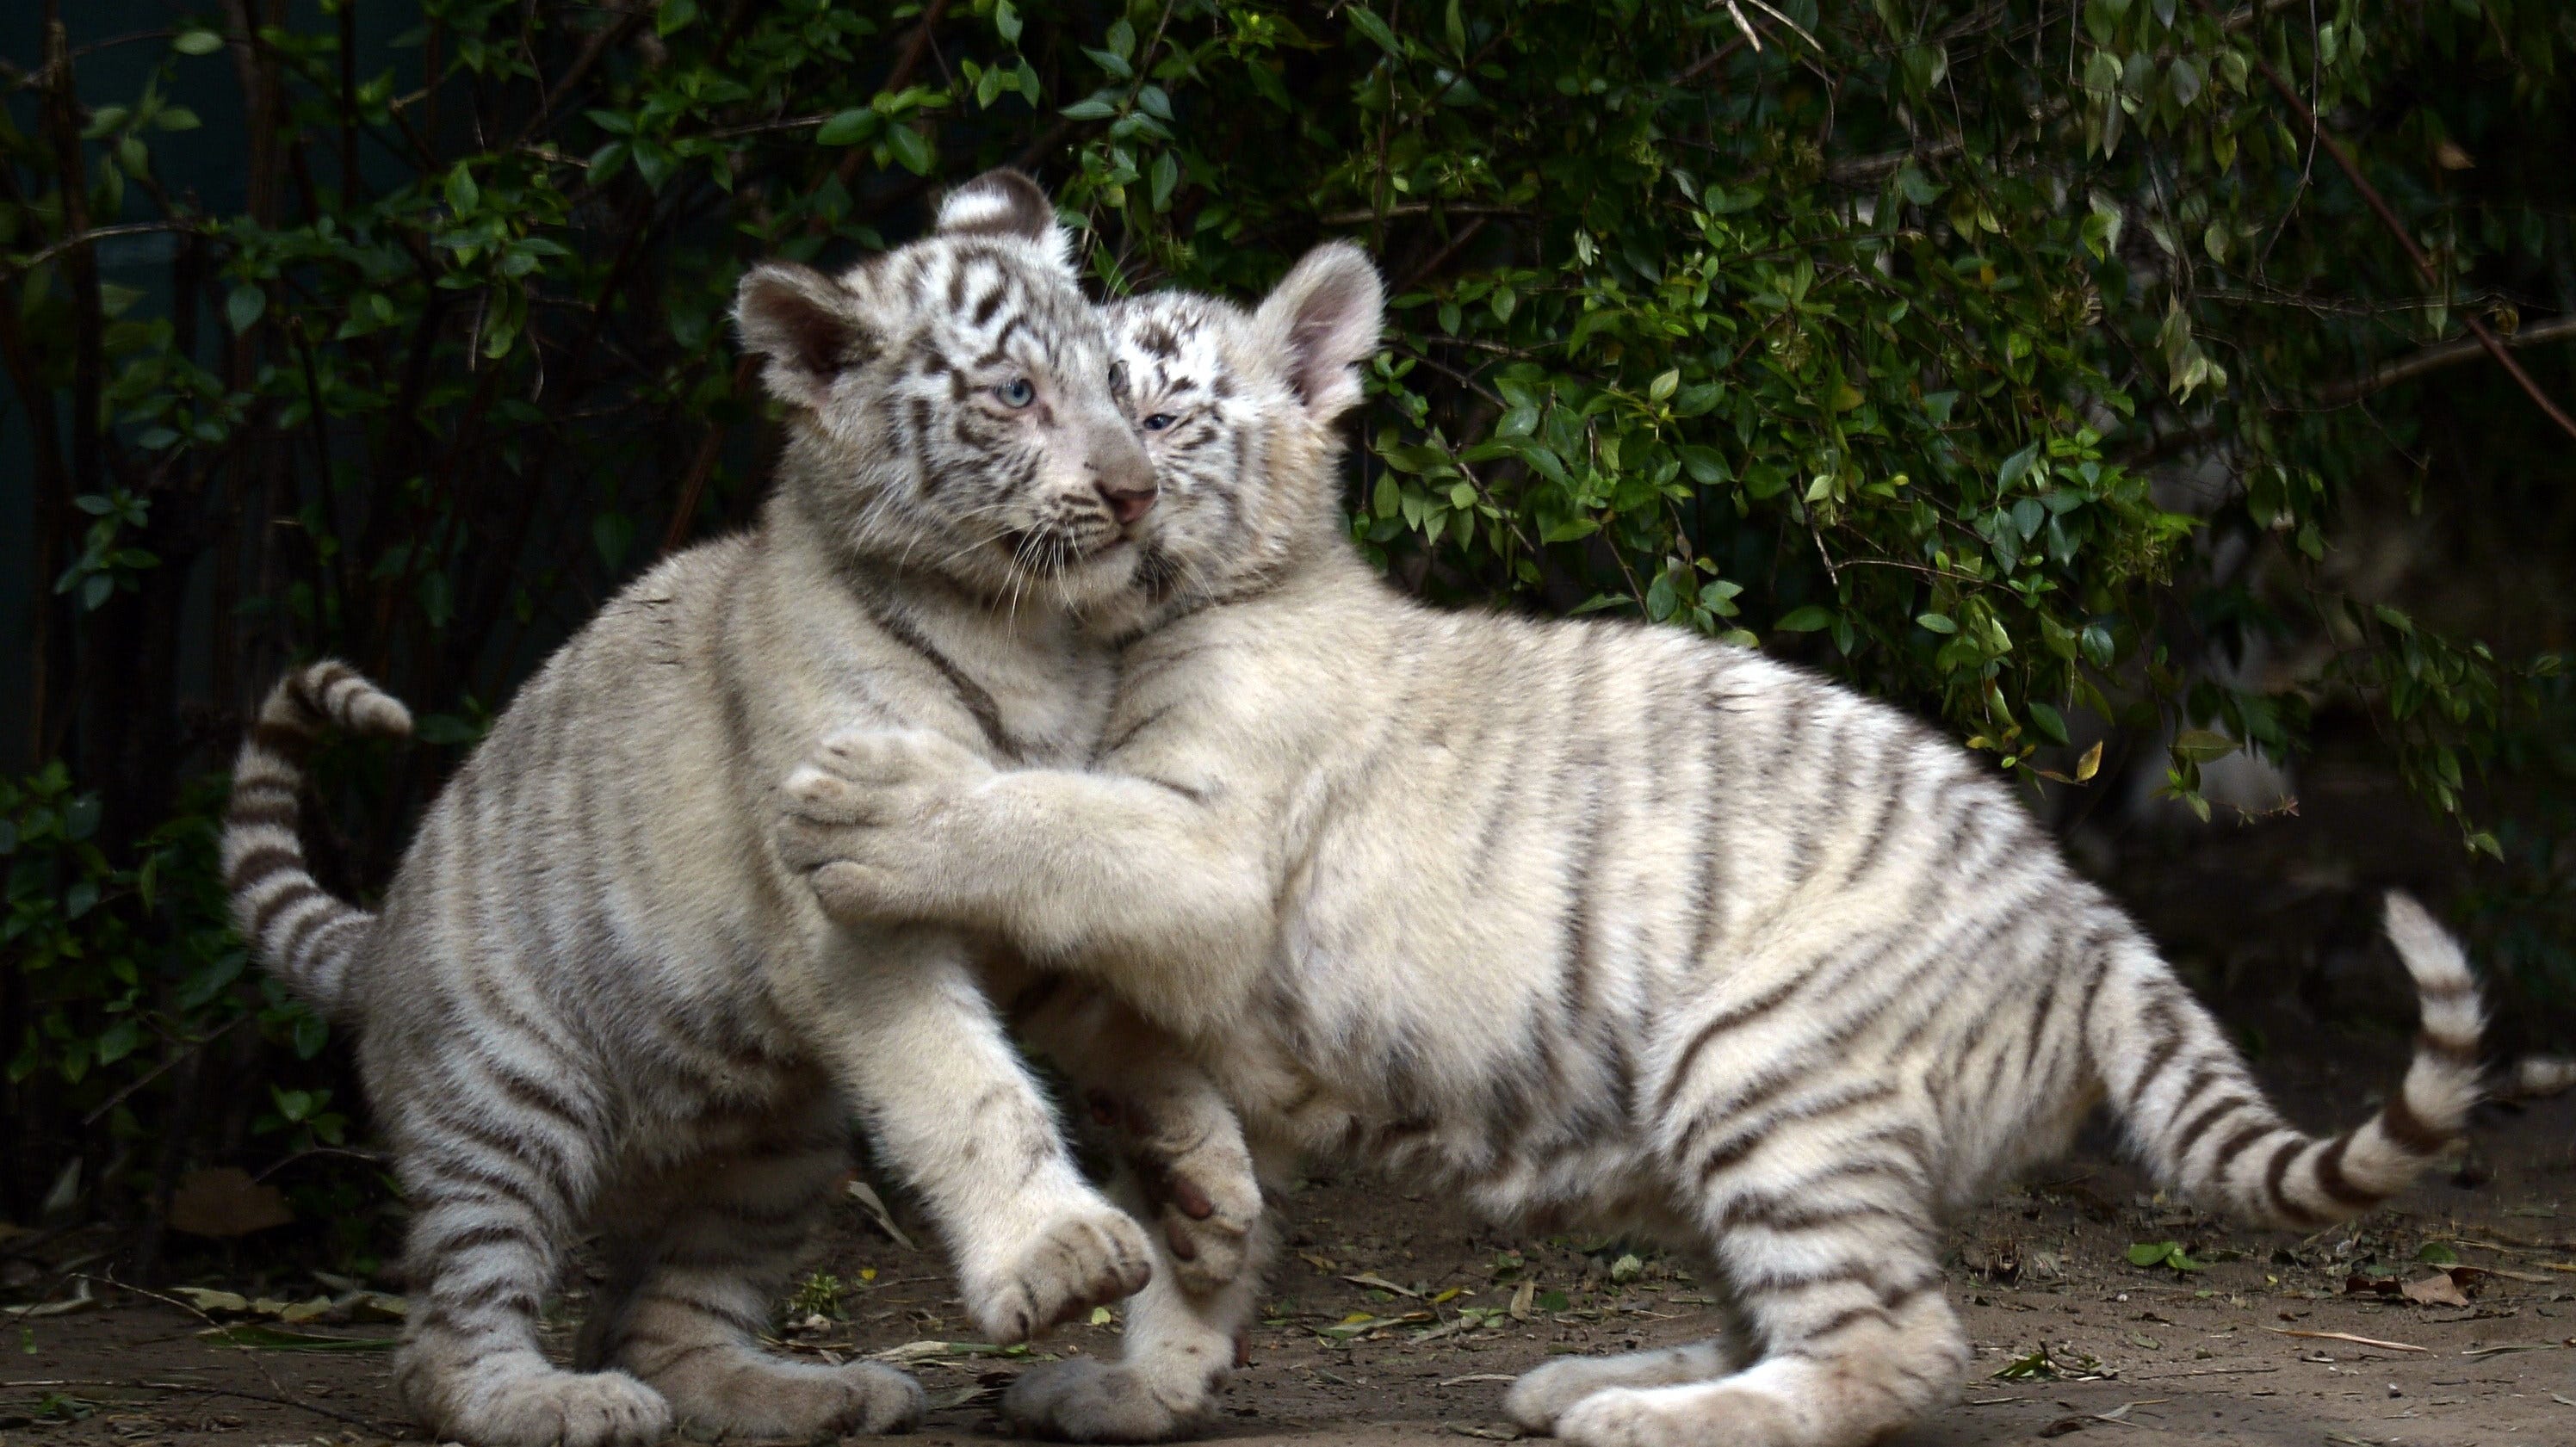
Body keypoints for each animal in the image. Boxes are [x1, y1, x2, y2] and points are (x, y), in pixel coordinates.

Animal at [218, 169, 1261, 1447]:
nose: (1135, 490)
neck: (1023, 630)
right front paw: (1063, 1251)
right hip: (506, 1097)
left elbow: (1128, 1025)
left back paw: (809, 1391)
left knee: (663, 1322)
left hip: (780, 1149)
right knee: (445, 1332)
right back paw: (544, 1399)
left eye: (1115, 382)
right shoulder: (854, 919)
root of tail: (376, 941)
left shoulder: (1019, 890)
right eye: (1017, 394)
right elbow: (969, 1086)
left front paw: (1208, 1179)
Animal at [771, 242, 2489, 1447]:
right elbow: (1194, 1208)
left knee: (1894, 1343)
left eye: (1159, 406)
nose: (1108, 489)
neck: (1145, 627)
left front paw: (866, 810)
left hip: (1767, 1060)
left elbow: (1050, 820)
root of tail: (2085, 918)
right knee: (1794, 1314)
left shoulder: (1209, 860)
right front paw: (1140, 1379)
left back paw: (1638, 1413)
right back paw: (1596, 1374)